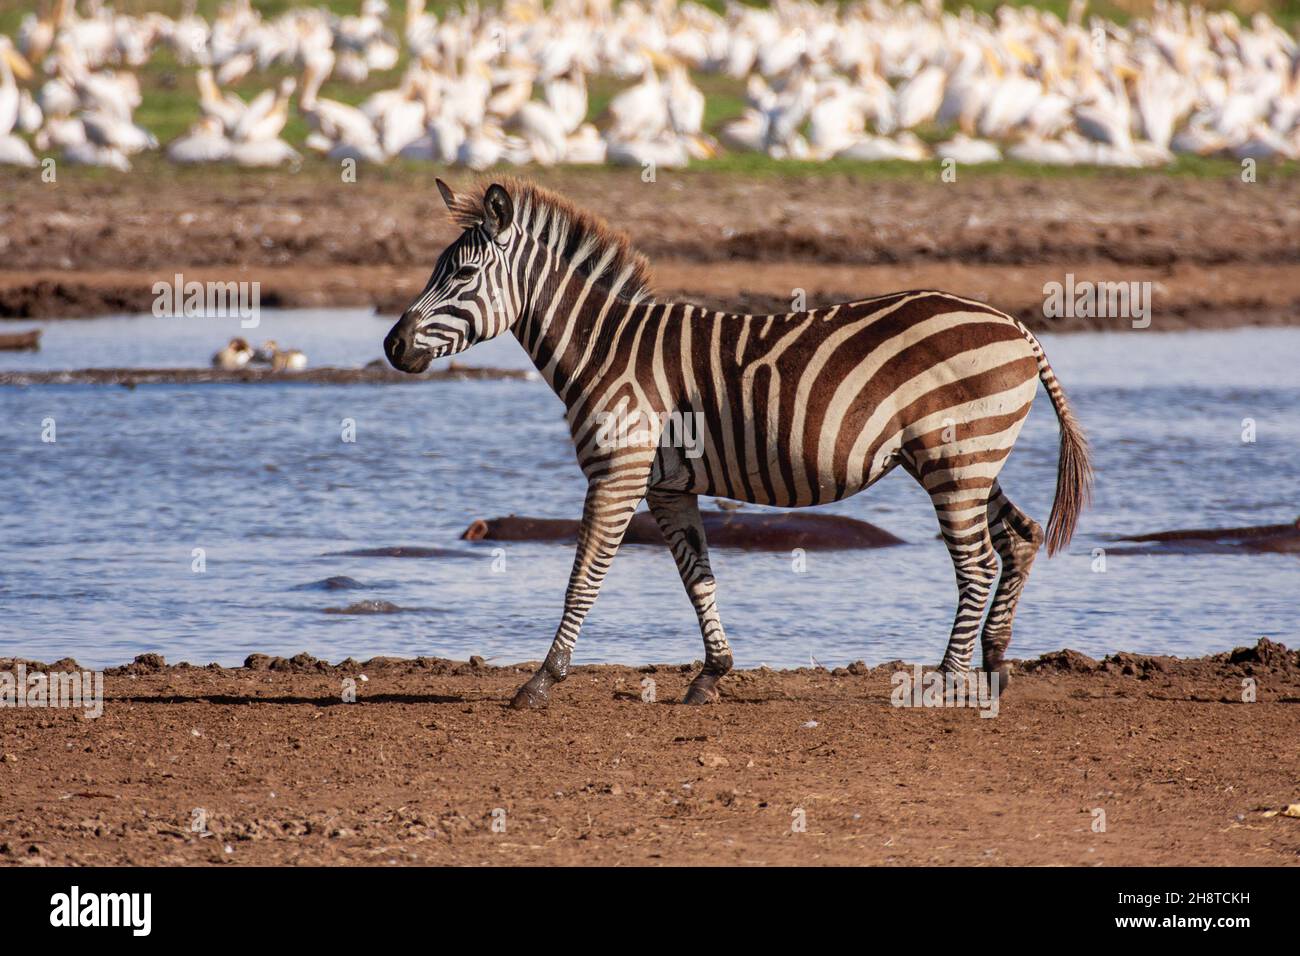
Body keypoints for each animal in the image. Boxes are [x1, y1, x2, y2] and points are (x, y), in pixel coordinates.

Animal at [385, 179, 1092, 709]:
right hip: (964, 460)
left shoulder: (617, 471)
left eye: (463, 274)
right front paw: (712, 674)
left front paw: (540, 681)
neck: (606, 351)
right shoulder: (667, 484)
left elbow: (582, 577)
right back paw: (995, 667)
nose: (392, 345)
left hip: (955, 458)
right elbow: (697, 575)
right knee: (1019, 537)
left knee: (976, 564)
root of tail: (1017, 326)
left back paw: (945, 681)